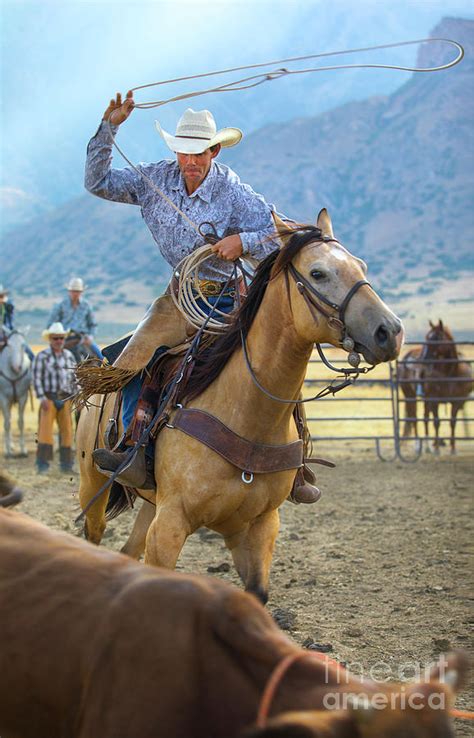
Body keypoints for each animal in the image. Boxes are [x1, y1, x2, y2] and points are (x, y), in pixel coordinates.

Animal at [78, 208, 404, 600]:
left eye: (361, 266)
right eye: (318, 273)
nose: (390, 331)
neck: (248, 415)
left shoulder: (258, 527)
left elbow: (256, 594)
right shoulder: (170, 525)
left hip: (151, 504)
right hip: (92, 482)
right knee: (94, 535)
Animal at [398, 320, 472, 452]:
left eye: (437, 337)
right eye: (427, 337)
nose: (423, 359)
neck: (450, 372)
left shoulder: (457, 401)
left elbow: (452, 422)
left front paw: (453, 448)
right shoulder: (434, 400)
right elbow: (437, 422)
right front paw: (437, 448)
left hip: (425, 399)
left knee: (425, 418)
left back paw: (427, 446)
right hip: (410, 396)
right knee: (414, 418)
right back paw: (418, 445)